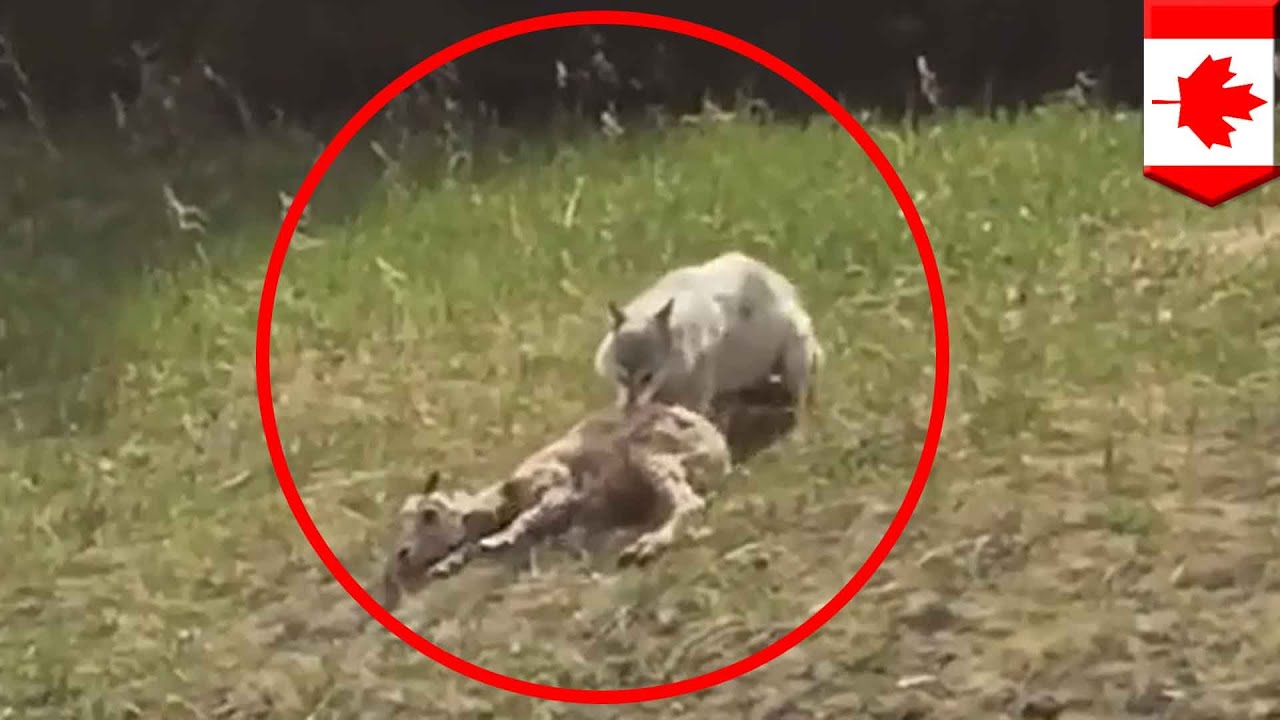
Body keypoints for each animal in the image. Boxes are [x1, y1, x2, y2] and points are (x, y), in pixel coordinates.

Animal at [592, 251, 824, 419]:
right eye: (621, 376)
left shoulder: (698, 390)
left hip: (797, 357)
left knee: (799, 399)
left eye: (647, 377)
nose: (628, 409)